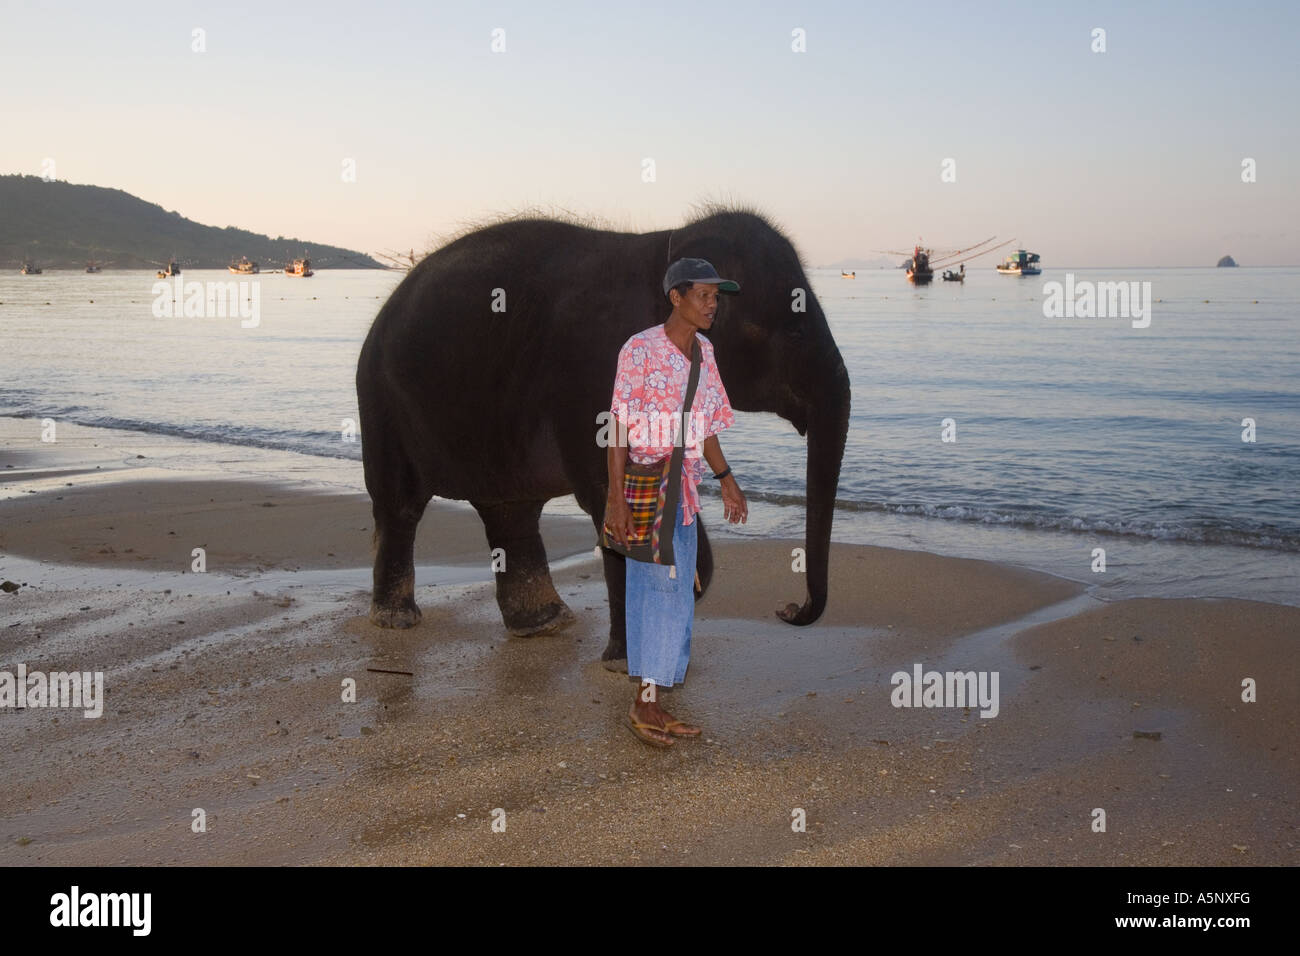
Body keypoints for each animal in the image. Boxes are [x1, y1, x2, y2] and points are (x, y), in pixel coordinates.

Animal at [355, 205, 851, 667]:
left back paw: (545, 623)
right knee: (400, 504)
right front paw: (627, 661)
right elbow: (607, 485)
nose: (788, 609)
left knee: (510, 512)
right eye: (795, 329)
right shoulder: (595, 378)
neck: (667, 247)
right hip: (382, 405)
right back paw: (397, 619)